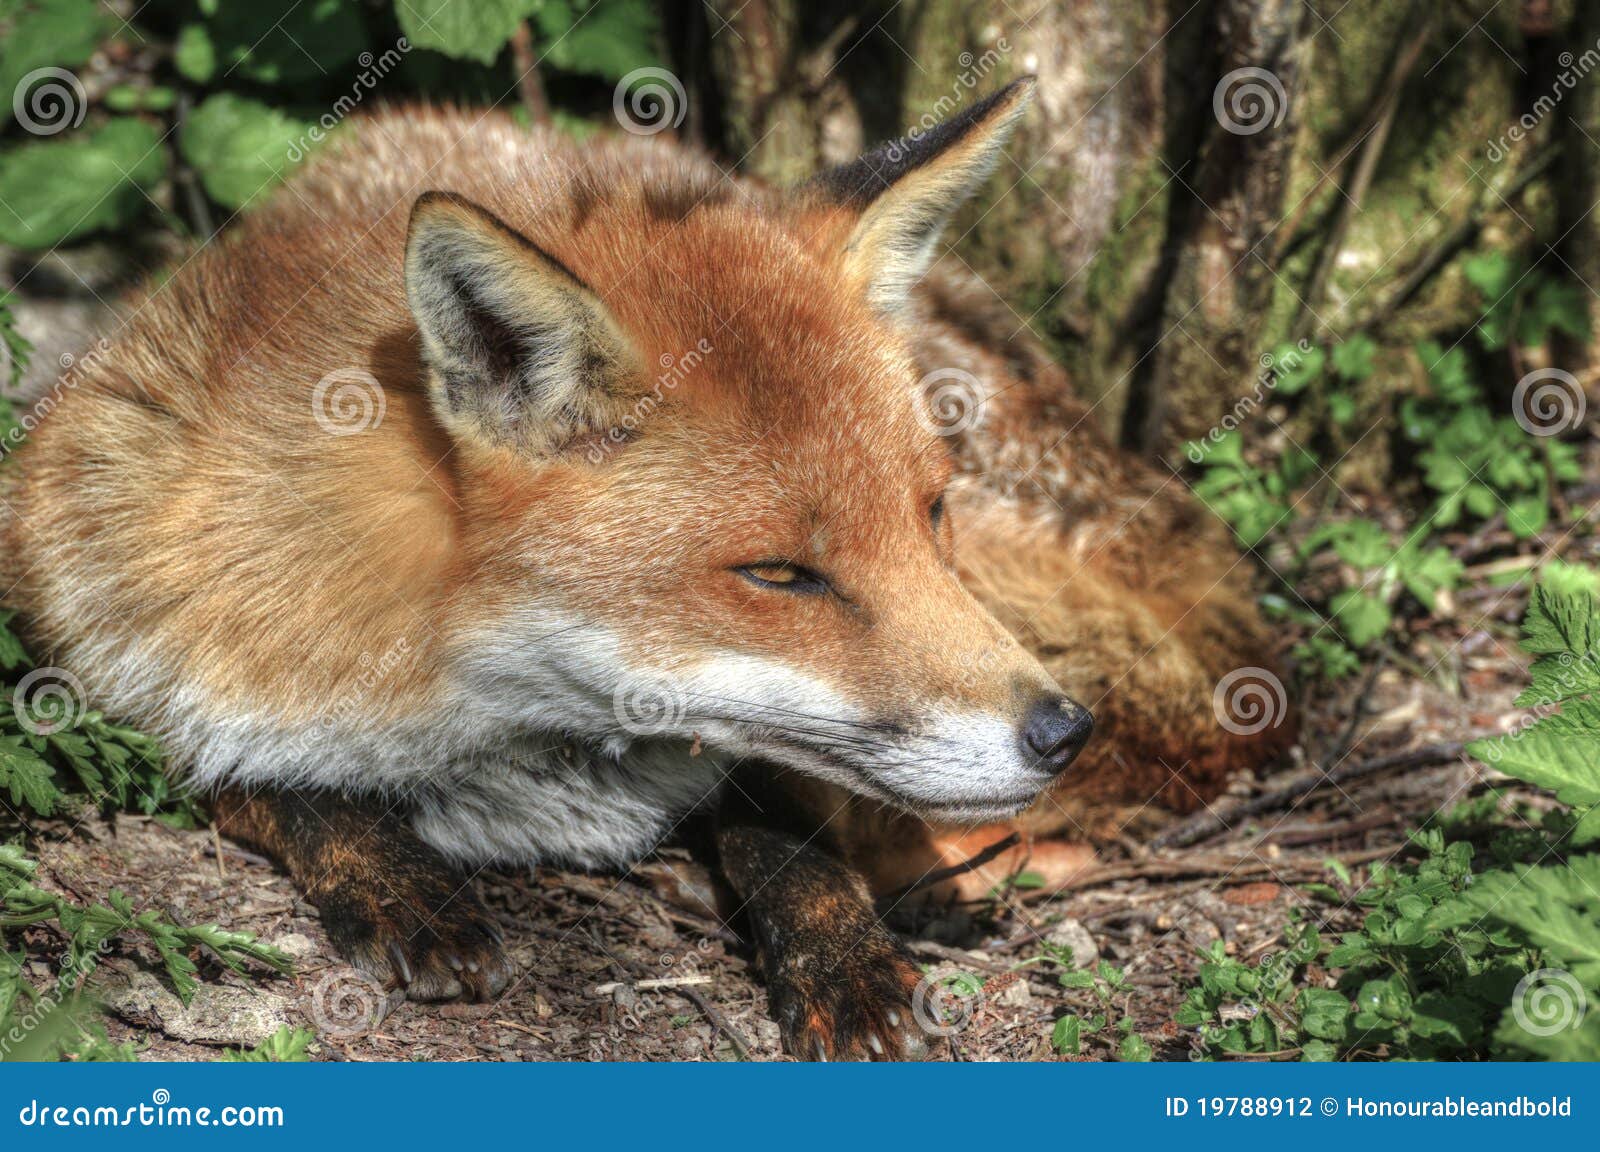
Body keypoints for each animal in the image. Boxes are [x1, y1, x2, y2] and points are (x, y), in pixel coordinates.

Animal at [0, 79, 1291, 1060]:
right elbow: (285, 792)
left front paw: (839, 953)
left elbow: (796, 842)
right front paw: (406, 890)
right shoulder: (119, 650)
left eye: (930, 515)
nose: (1059, 732)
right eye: (779, 575)